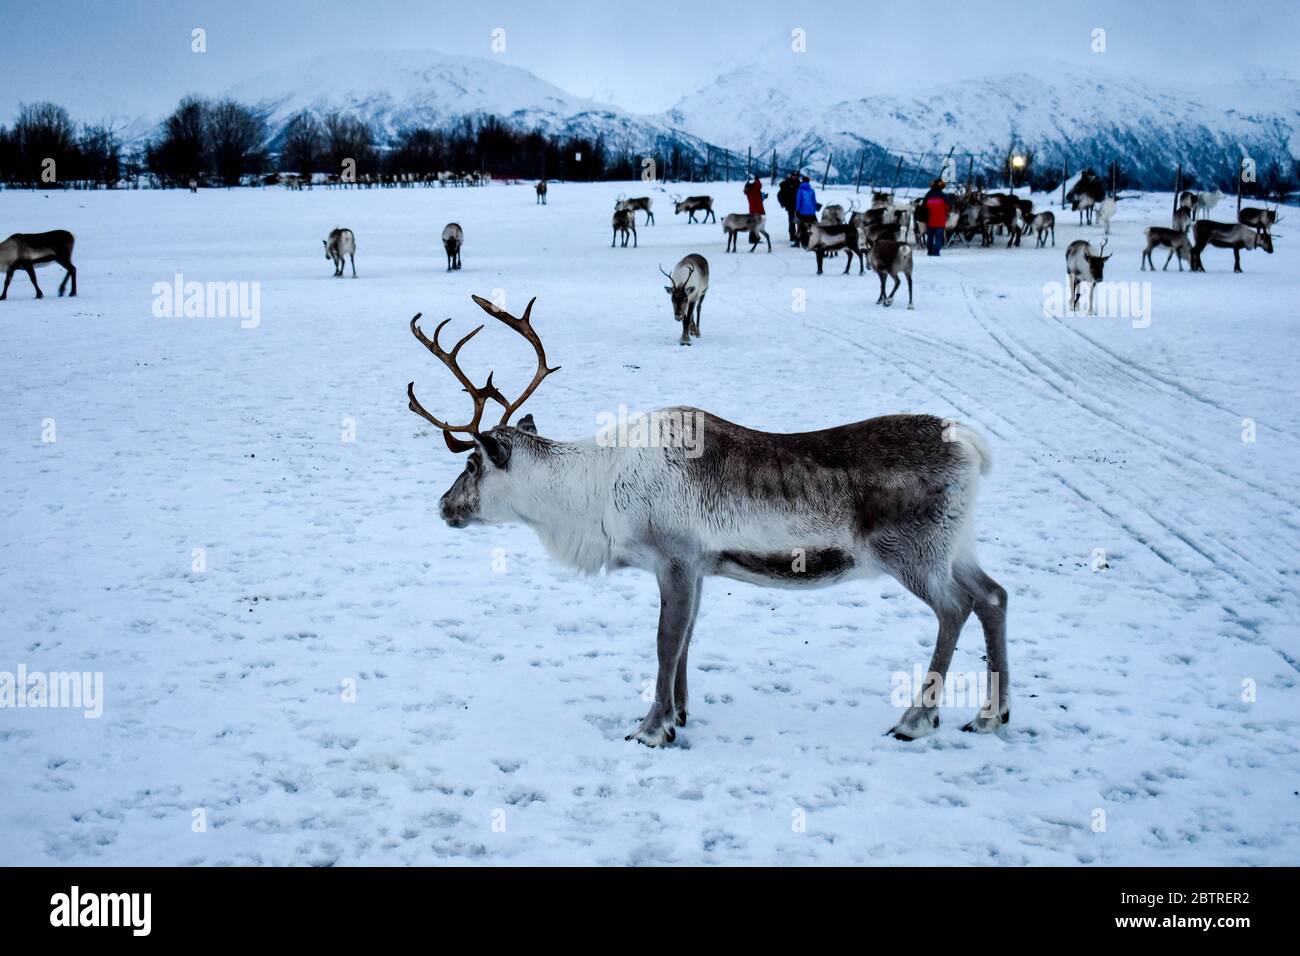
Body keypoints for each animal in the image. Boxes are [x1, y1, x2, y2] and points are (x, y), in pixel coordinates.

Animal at [407, 294, 1009, 747]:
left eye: (471, 463)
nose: (443, 506)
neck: (595, 494)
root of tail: (971, 444)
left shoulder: (673, 559)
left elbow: (665, 641)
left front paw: (651, 728)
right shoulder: (697, 567)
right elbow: (687, 639)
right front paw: (680, 714)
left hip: (914, 553)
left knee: (956, 608)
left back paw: (916, 719)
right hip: (958, 545)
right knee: (994, 596)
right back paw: (990, 716)